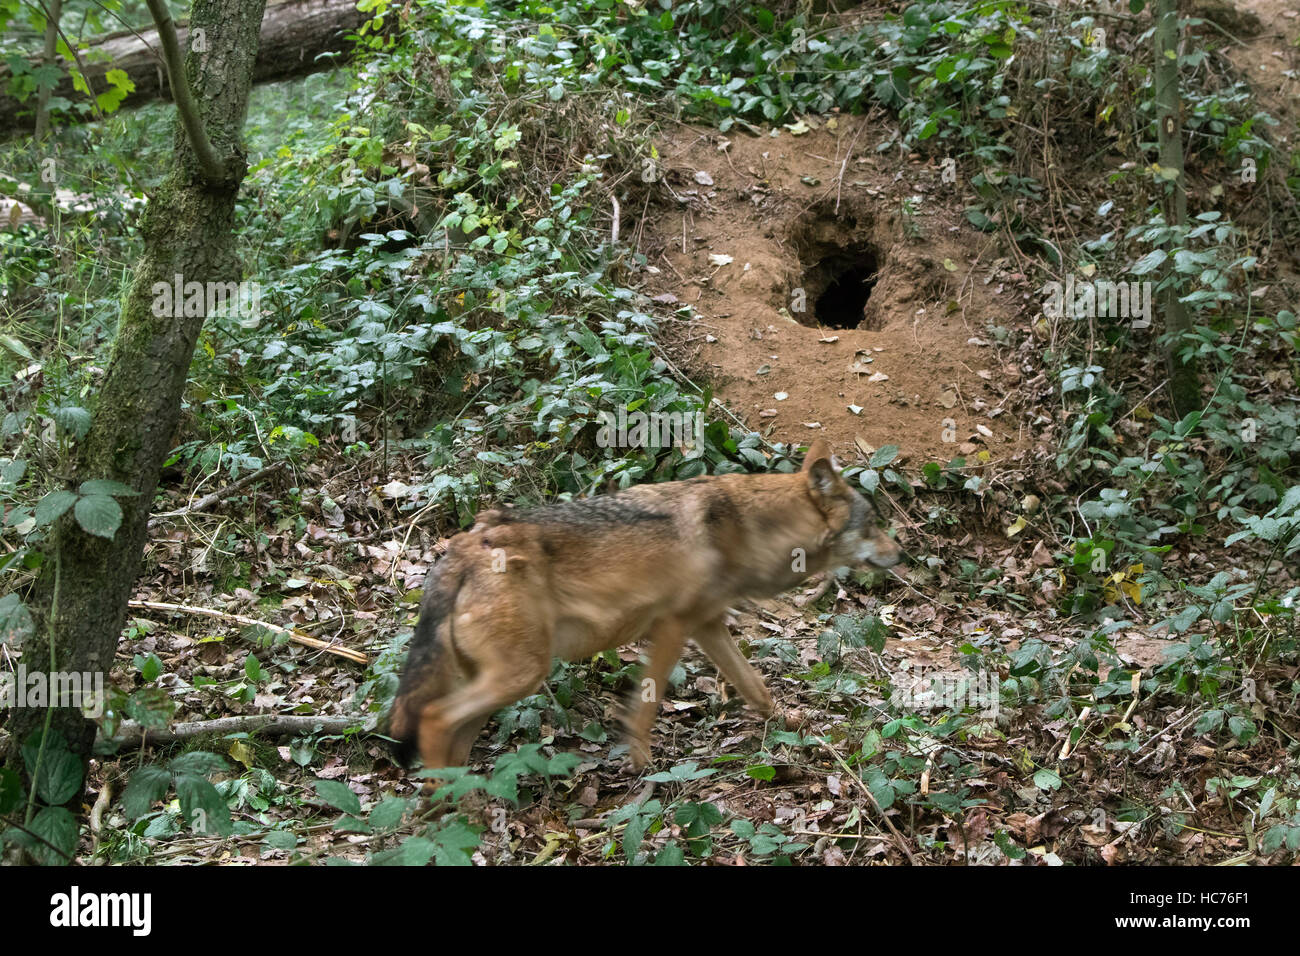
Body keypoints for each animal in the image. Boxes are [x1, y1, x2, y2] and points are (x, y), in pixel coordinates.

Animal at [388, 439, 901, 771]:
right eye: (873, 523)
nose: (902, 552)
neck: (751, 527)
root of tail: (465, 544)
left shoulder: (707, 625)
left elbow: (757, 688)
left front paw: (793, 726)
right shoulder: (672, 627)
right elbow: (646, 707)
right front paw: (641, 764)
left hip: (500, 682)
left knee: (452, 740)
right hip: (521, 675)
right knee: (433, 720)